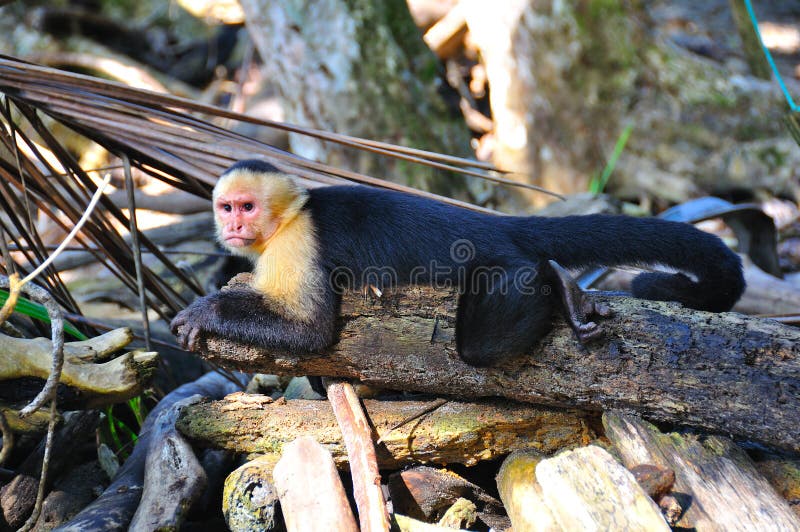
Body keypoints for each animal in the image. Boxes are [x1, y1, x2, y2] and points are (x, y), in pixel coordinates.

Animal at [170, 159, 745, 366]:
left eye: (247, 206)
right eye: (226, 208)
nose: (233, 226)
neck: (290, 219)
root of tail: (499, 224)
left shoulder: (298, 243)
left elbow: (309, 332)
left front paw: (206, 311)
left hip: (502, 268)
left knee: (481, 345)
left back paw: (559, 284)